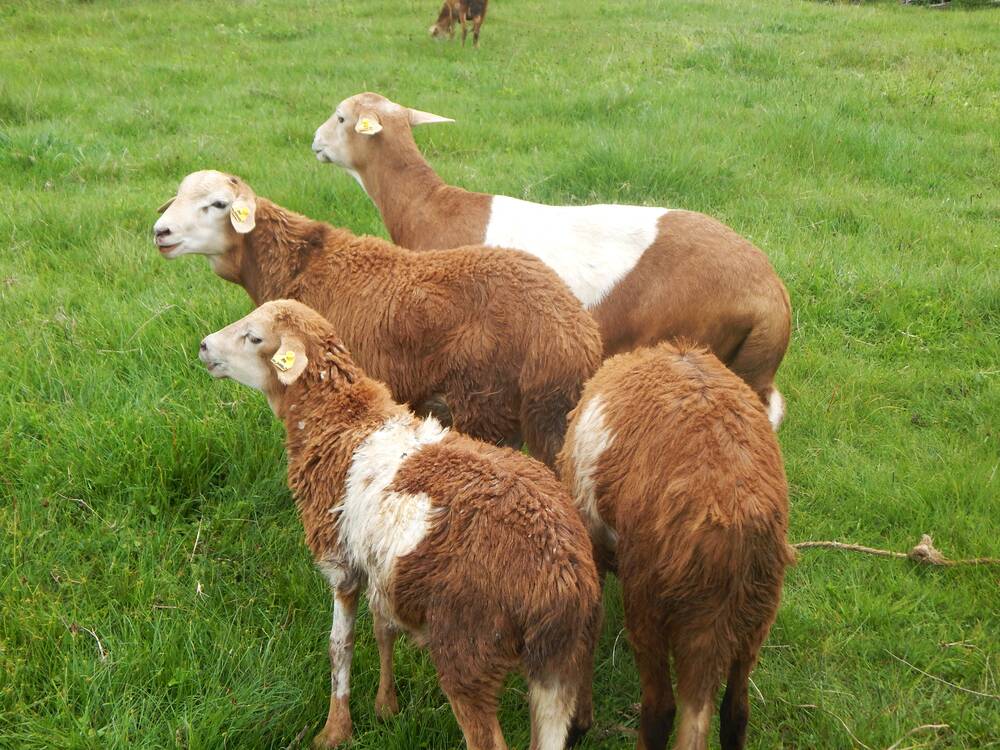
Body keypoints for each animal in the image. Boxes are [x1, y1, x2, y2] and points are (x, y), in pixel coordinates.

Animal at [152, 169, 602, 469]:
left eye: (219, 204)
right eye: (177, 195)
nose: (161, 231)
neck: (300, 264)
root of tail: (571, 335)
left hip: (486, 403)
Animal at [197, 299, 602, 750]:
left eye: (254, 337)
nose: (203, 346)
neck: (340, 422)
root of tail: (561, 578)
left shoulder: (340, 562)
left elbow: (340, 645)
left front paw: (334, 729)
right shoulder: (380, 565)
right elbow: (383, 628)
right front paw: (386, 706)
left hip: (469, 649)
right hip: (564, 660)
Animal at [556, 342, 795, 750]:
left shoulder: (591, 540)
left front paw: (578, 724)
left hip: (650, 599)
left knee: (661, 708)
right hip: (756, 615)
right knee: (736, 710)